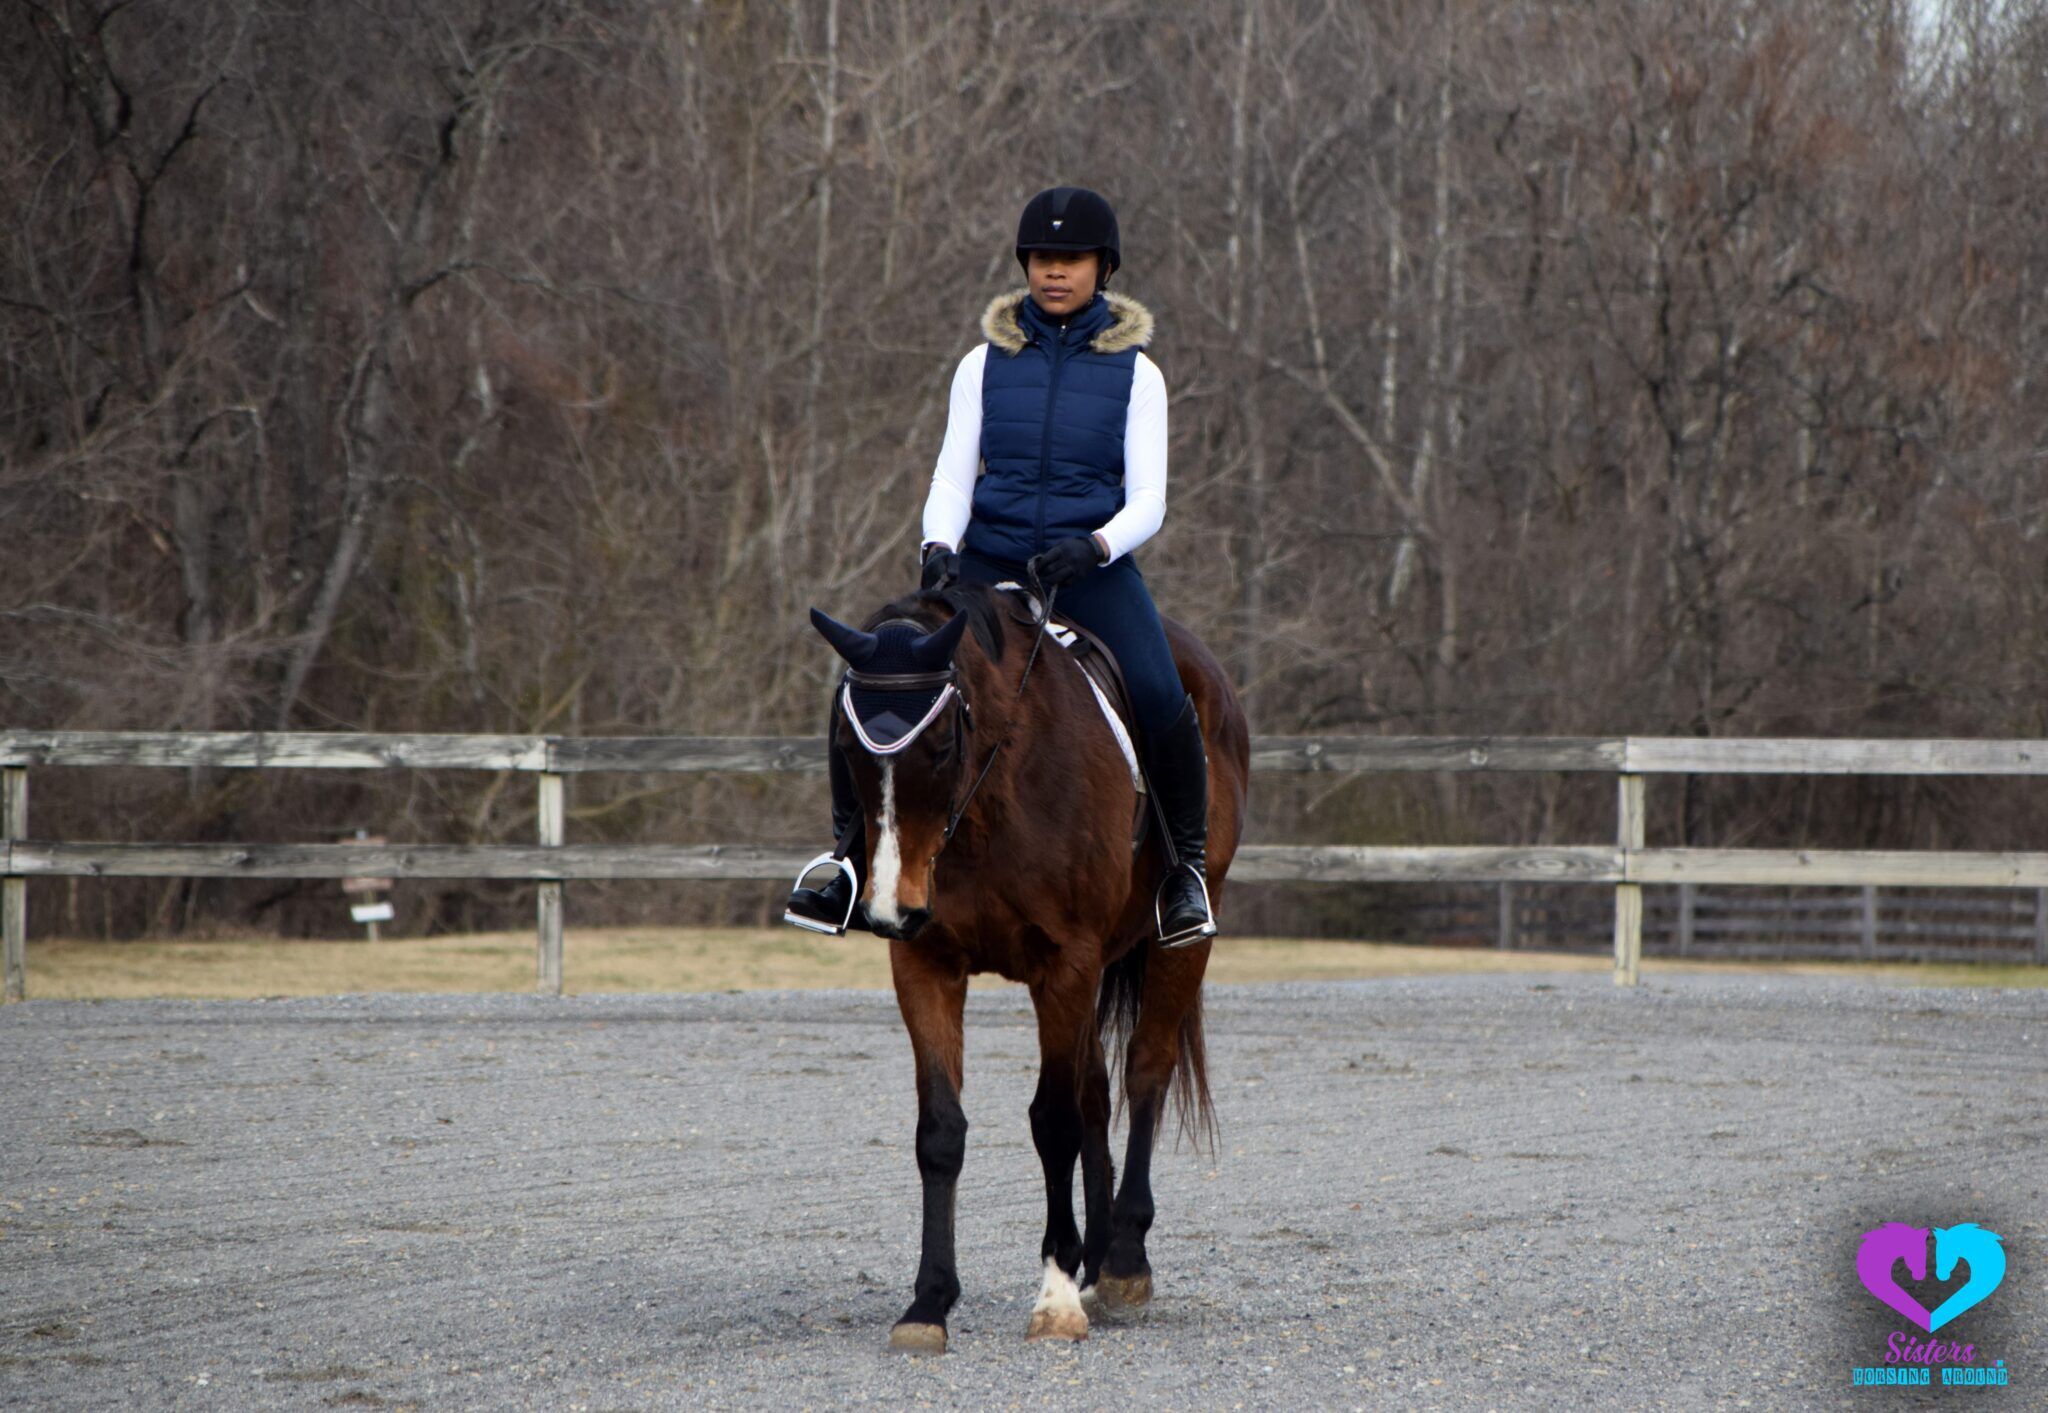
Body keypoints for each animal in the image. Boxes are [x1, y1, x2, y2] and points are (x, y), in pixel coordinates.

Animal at [805, 578, 1250, 1352]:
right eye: (845, 748)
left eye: (942, 743)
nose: (891, 906)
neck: (991, 790)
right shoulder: (925, 962)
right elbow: (941, 1129)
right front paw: (928, 1302)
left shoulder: (1065, 963)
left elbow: (1054, 1122)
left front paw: (1056, 1297)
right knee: (1098, 1090)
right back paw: (1098, 1258)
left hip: (1181, 939)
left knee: (1145, 1070)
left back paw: (1124, 1260)